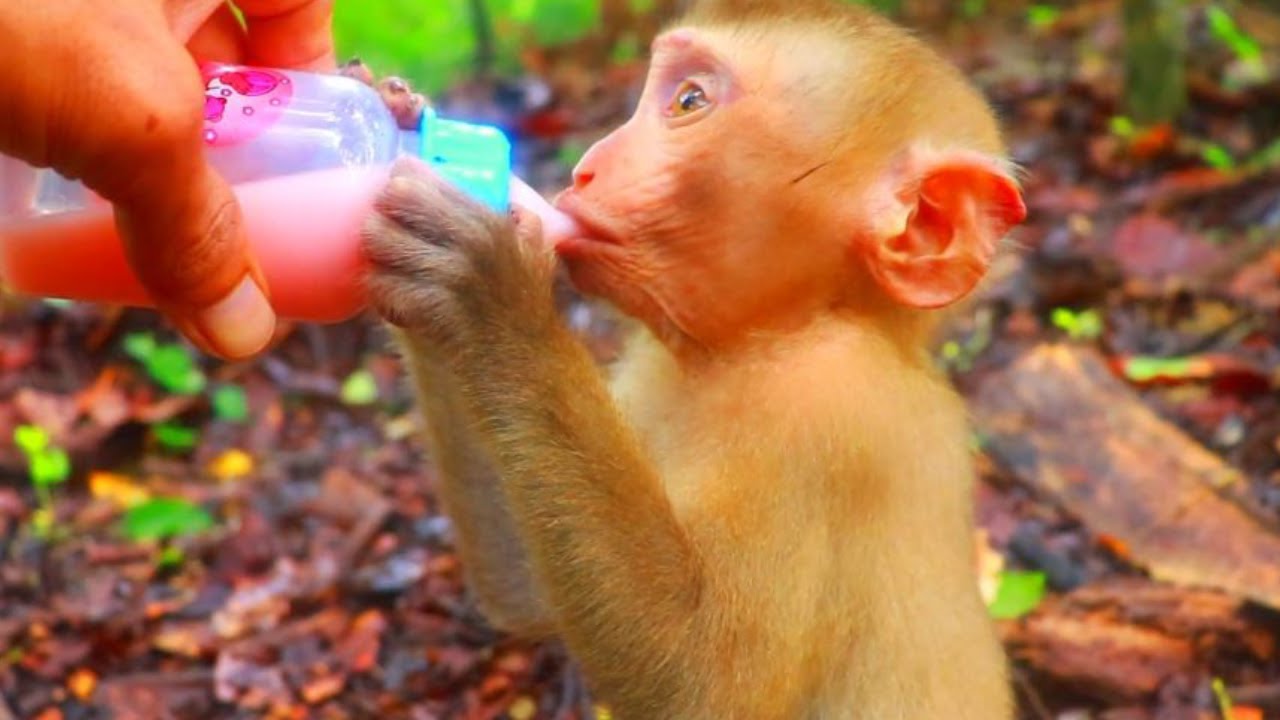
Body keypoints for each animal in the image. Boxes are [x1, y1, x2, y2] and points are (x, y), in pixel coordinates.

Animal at [361, 0, 1028, 717]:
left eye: (688, 101)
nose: (586, 167)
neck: (758, 340)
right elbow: (532, 594)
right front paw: (401, 118)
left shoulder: (827, 414)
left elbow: (706, 685)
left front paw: (485, 285)